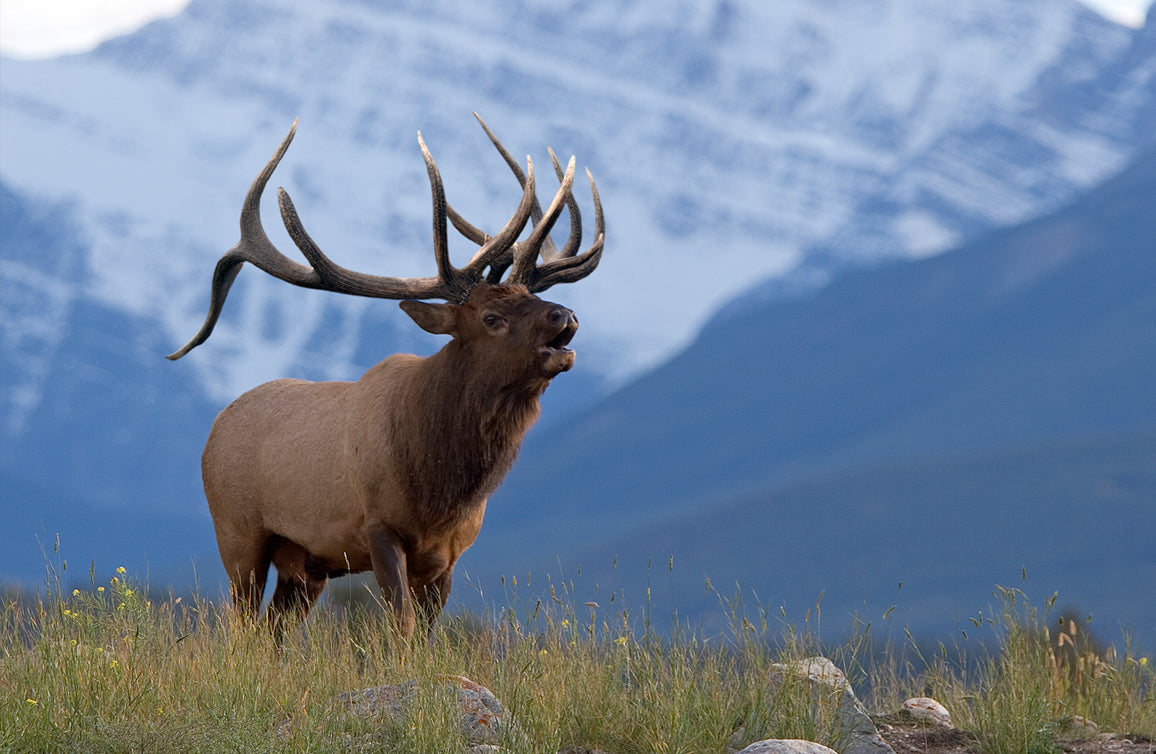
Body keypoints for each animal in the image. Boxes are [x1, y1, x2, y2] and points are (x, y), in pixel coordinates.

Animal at [167, 115, 603, 640]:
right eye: (491, 317)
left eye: (530, 296)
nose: (566, 315)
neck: (440, 487)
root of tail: (216, 427)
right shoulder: (378, 528)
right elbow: (402, 625)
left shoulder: (450, 555)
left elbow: (426, 633)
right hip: (238, 533)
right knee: (242, 624)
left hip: (306, 563)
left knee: (272, 630)